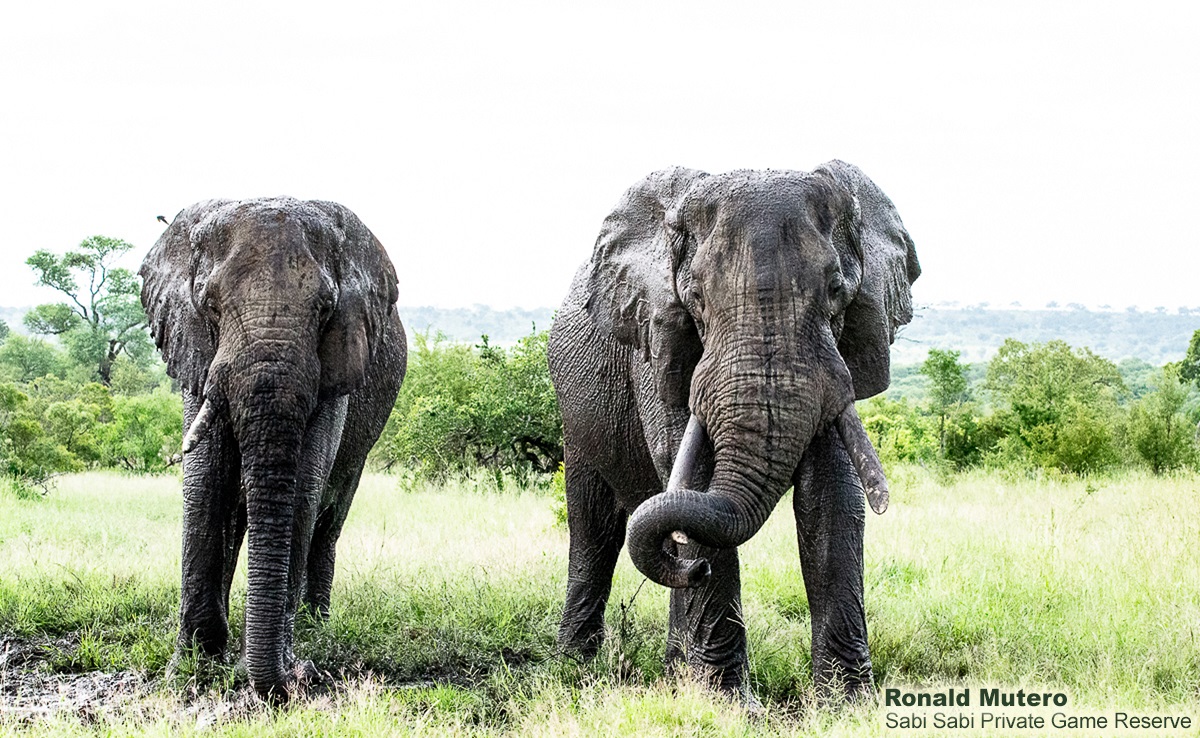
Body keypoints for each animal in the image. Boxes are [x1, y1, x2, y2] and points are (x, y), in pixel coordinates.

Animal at [140, 197, 407, 699]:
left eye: (326, 310)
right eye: (210, 305)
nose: (302, 674)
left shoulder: (339, 360)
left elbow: (303, 484)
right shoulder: (196, 351)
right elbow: (205, 480)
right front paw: (191, 669)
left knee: (330, 515)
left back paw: (315, 624)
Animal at [548, 161, 920, 699]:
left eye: (836, 290)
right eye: (695, 298)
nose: (694, 569)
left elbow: (831, 490)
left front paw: (846, 703)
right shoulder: (658, 341)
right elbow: (696, 480)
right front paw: (727, 703)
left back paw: (674, 670)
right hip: (575, 413)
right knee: (594, 526)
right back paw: (574, 666)